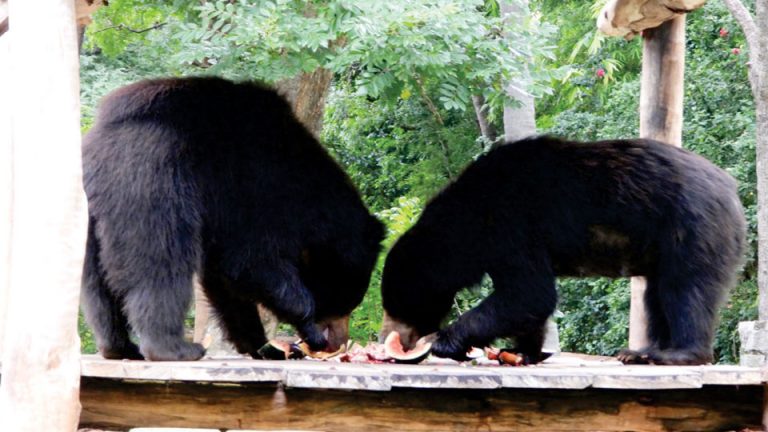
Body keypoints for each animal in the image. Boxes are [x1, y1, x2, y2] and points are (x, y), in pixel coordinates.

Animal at [81, 77, 384, 361]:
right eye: (339, 305)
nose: (337, 343)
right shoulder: (254, 190)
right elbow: (251, 262)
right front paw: (306, 329)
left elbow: (226, 281)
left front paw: (263, 346)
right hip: (153, 183)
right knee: (161, 264)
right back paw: (176, 349)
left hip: (90, 214)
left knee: (97, 287)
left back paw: (118, 347)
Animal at [381, 136, 746, 365]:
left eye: (399, 304)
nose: (394, 340)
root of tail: (731, 188)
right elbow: (527, 299)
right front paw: (524, 351)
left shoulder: (511, 224)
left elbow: (528, 292)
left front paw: (448, 341)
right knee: (656, 296)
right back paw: (642, 351)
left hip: (692, 226)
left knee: (684, 288)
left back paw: (677, 353)